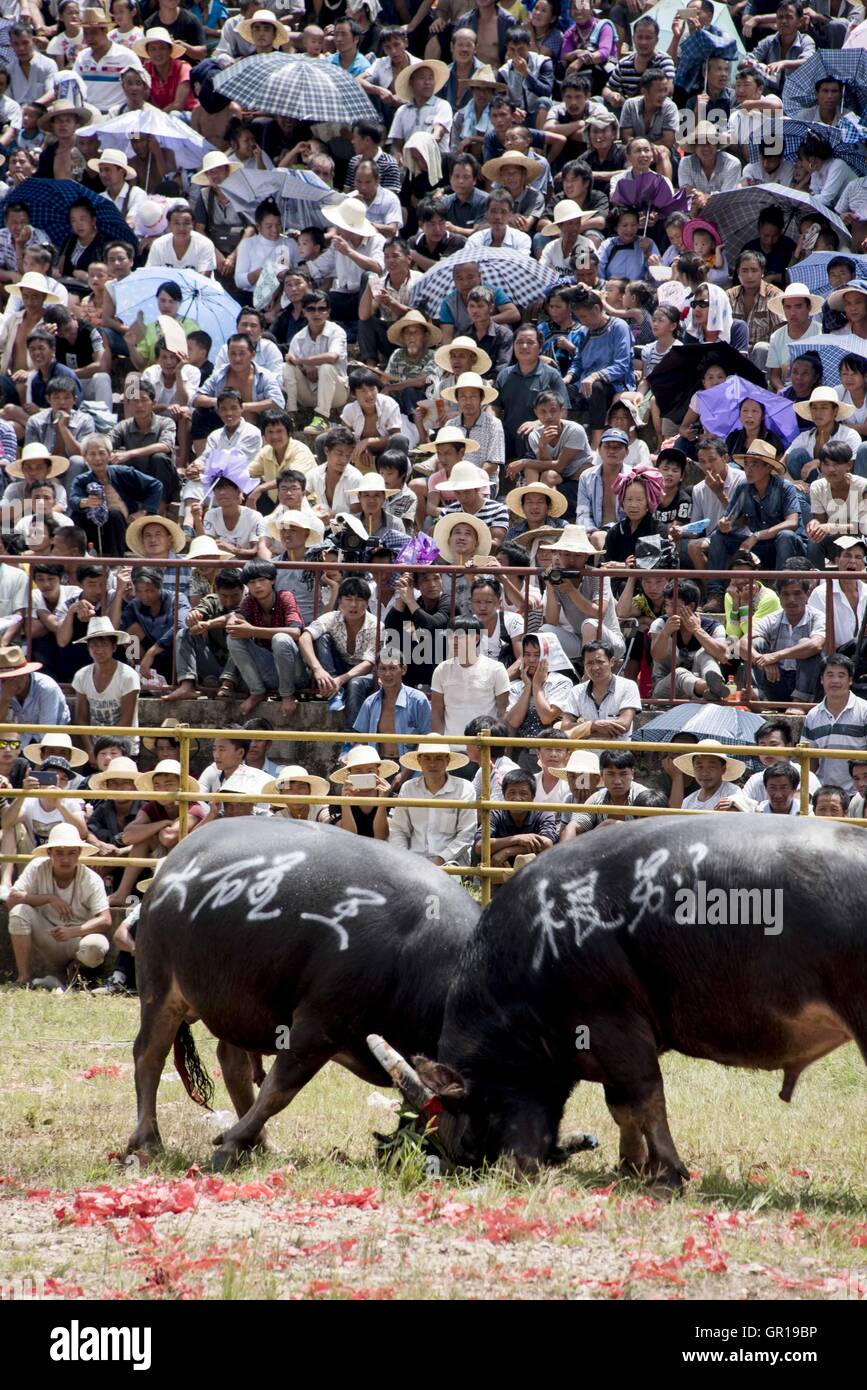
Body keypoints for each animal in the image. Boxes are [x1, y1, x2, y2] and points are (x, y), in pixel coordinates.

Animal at [124, 819, 481, 1170]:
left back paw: (262, 1144)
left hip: (234, 1001)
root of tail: (172, 861)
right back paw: (148, 1143)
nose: (472, 1159)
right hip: (159, 987)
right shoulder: (317, 1027)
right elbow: (278, 1090)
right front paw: (228, 1146)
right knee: (149, 1055)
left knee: (231, 1063)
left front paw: (234, 1141)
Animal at [371, 816, 867, 1186]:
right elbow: (621, 1106)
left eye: (474, 1116)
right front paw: (631, 1165)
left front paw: (667, 1173)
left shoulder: (613, 1027)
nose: (512, 1169)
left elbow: (645, 1098)